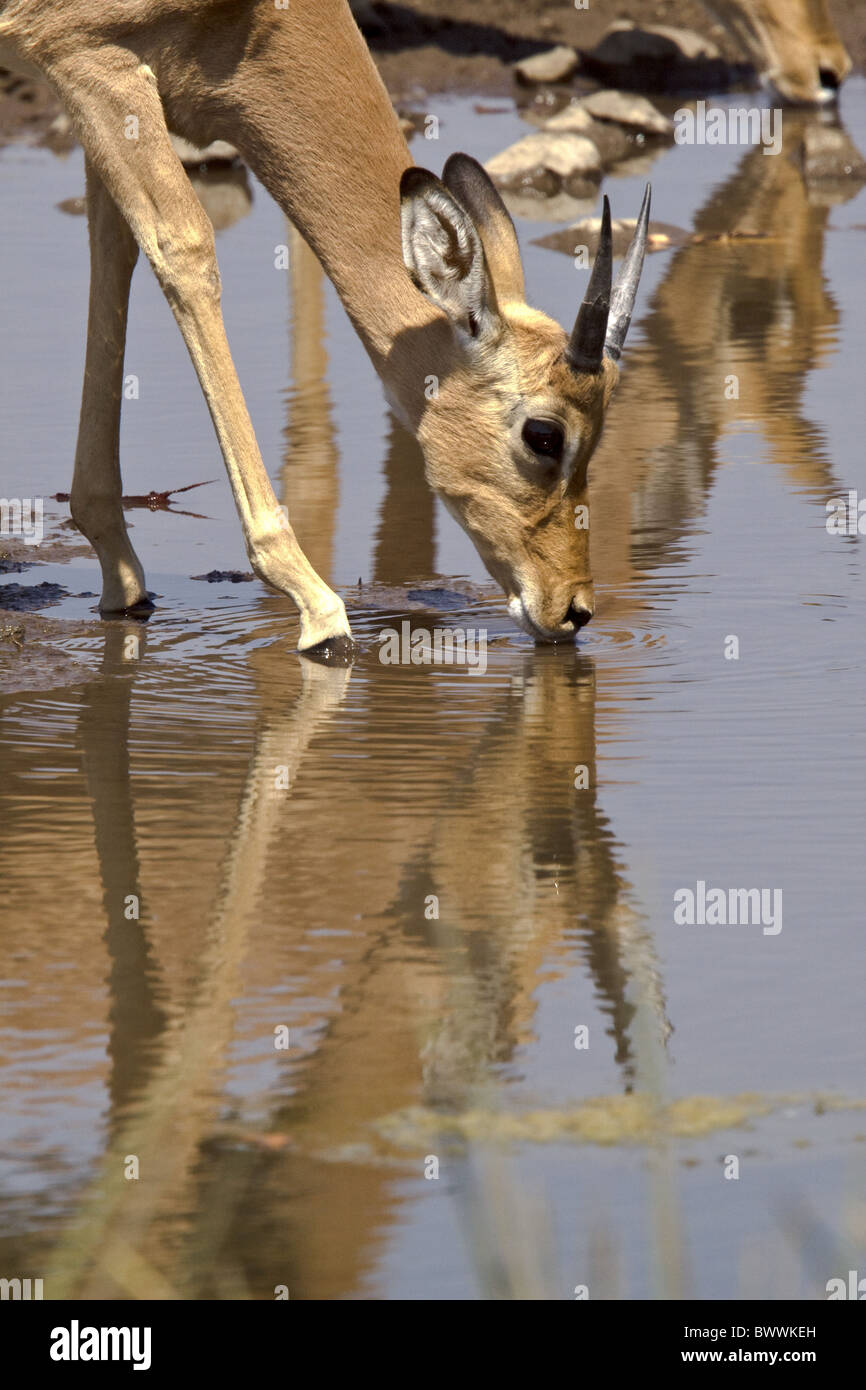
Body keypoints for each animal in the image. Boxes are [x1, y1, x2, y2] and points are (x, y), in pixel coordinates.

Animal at [0, 0, 650, 649]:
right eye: (544, 435)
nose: (574, 610)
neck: (248, 21)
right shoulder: (92, 61)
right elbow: (184, 246)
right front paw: (318, 606)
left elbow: (115, 248)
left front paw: (121, 580)